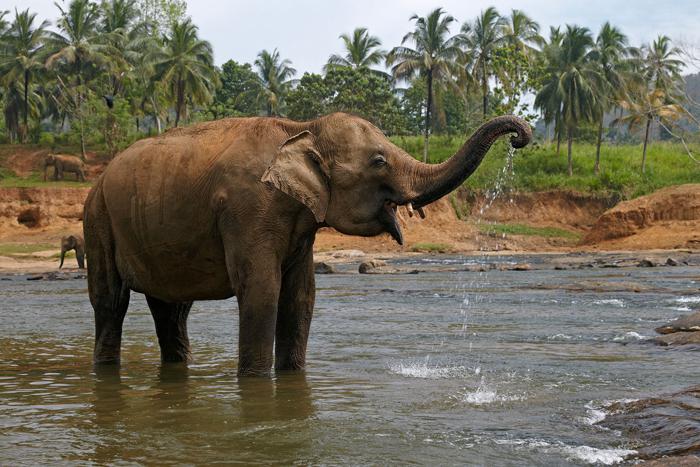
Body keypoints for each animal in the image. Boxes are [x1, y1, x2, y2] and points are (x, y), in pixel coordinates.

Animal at [82, 112, 532, 376]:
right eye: (379, 161)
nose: (520, 137)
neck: (301, 126)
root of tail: (99, 179)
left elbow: (301, 296)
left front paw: (292, 378)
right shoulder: (248, 208)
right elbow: (262, 291)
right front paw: (257, 384)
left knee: (172, 309)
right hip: (98, 219)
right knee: (111, 302)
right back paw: (105, 368)